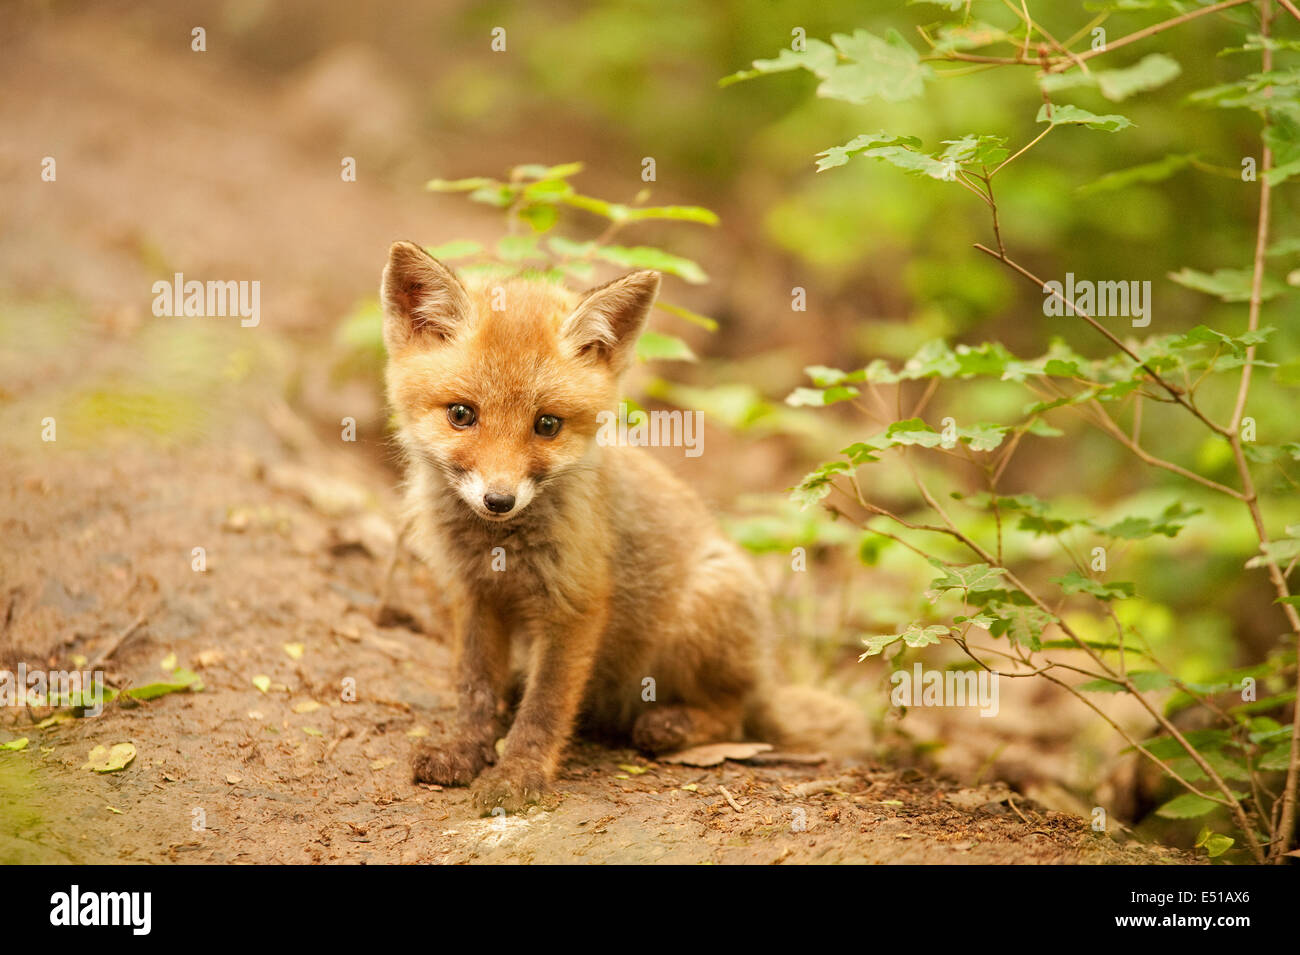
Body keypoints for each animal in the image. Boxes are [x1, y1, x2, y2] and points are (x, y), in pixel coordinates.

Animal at [380, 240, 868, 814]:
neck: (499, 546)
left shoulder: (576, 604)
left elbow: (545, 708)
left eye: (547, 425)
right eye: (461, 415)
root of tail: (765, 672)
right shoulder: (476, 594)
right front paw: (463, 750)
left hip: (700, 615)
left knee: (735, 715)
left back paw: (673, 725)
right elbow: (474, 688)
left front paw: (517, 775)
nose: (499, 500)